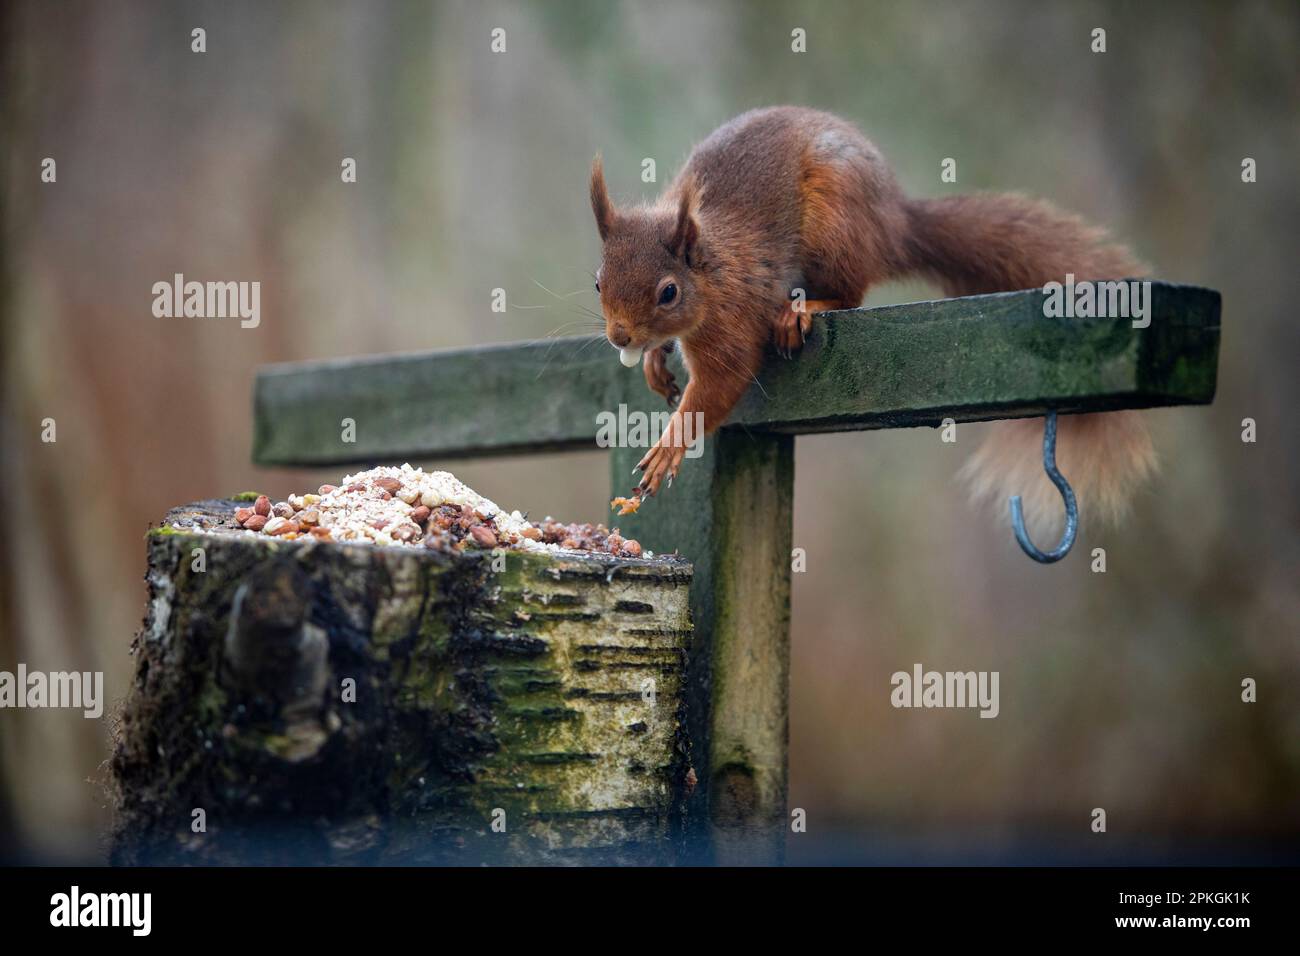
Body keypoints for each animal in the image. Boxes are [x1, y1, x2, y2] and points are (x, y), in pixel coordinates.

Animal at [591, 106, 1155, 530]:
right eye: (598, 282)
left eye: (668, 293)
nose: (620, 336)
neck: (712, 270)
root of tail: (892, 223)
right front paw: (655, 362)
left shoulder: (734, 317)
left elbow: (721, 383)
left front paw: (668, 446)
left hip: (836, 222)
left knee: (851, 294)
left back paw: (805, 310)